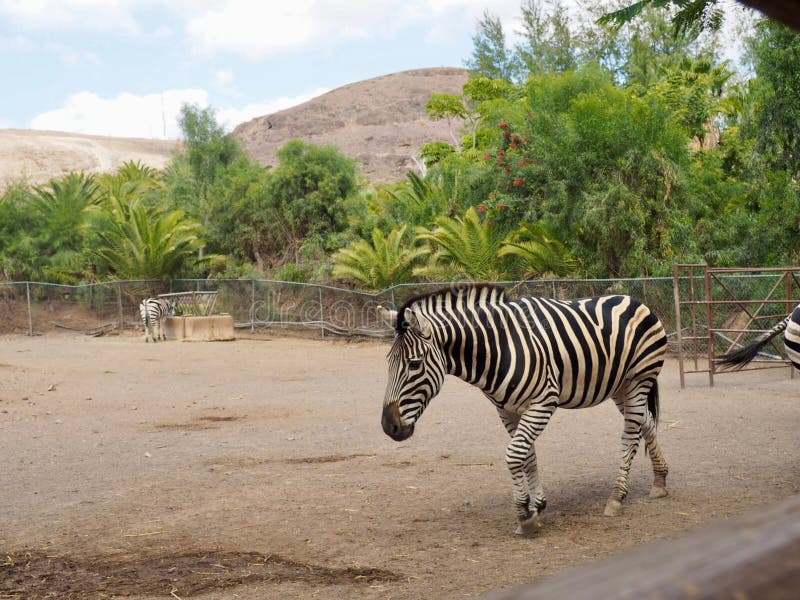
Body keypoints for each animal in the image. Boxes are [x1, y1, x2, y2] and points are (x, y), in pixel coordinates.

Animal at [379, 284, 668, 535]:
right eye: (388, 362)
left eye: (414, 364)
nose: (388, 426)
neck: (498, 350)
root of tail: (633, 299)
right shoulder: (506, 410)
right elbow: (526, 456)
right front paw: (537, 506)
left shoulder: (542, 402)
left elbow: (513, 454)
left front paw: (524, 514)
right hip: (620, 387)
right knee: (646, 422)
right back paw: (660, 481)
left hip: (639, 379)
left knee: (630, 436)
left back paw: (616, 497)